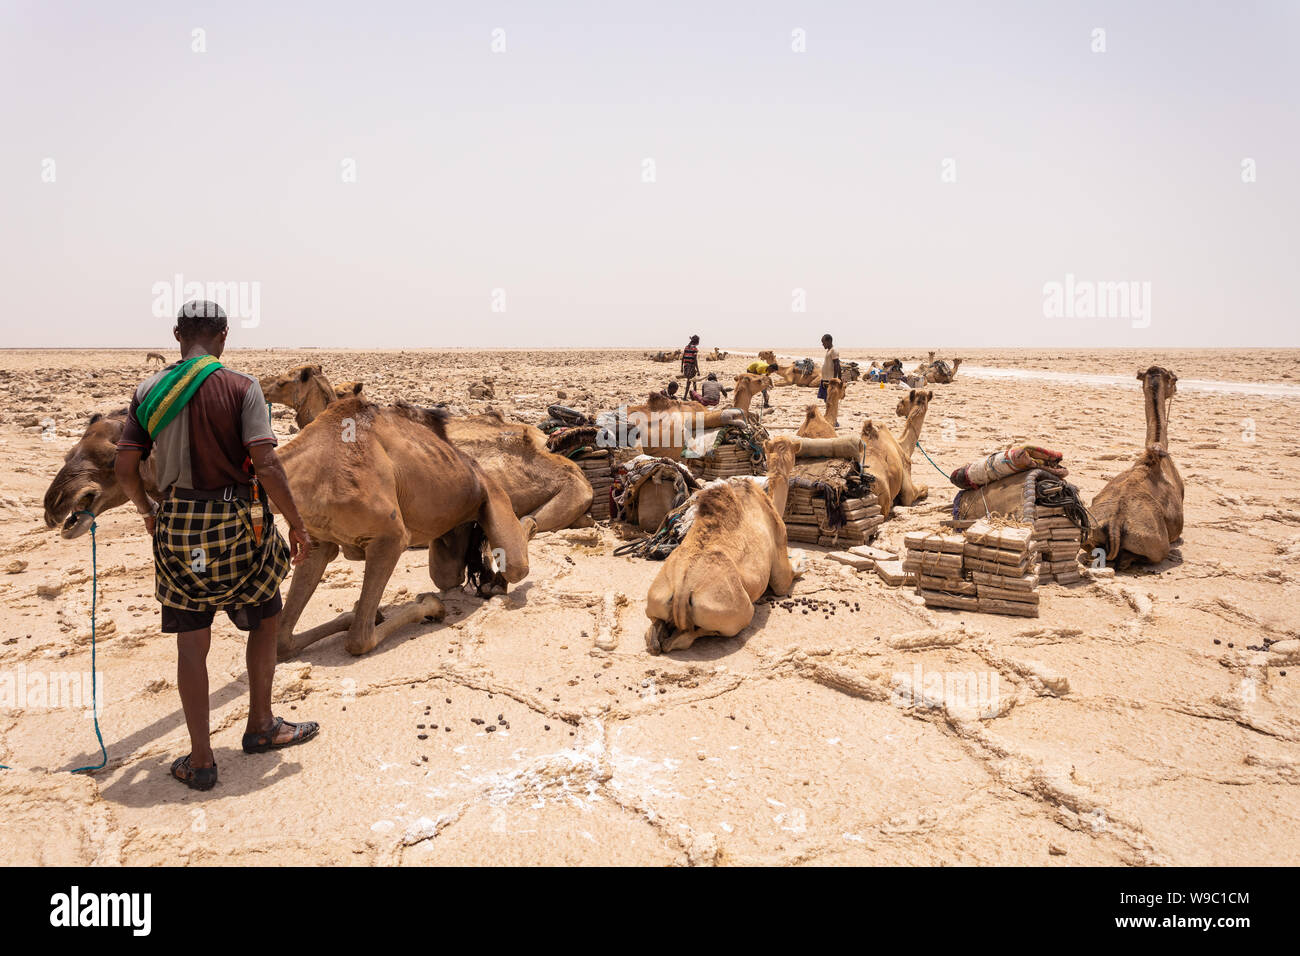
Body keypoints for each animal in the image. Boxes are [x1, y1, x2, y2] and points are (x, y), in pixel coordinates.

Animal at [41, 398, 530, 659]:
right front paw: (362, 609)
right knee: (450, 570)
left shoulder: (392, 538)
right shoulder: (318, 543)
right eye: (71, 448)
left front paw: (425, 607)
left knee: (516, 563)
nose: (54, 503)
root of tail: (471, 463)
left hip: (490, 497)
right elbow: (282, 640)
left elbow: (358, 641)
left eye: (109, 453)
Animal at [644, 436, 798, 654]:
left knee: (654, 629)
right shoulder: (780, 545)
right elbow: (787, 579)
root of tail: (681, 592)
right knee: (705, 632)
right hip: (733, 612)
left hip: (655, 599)